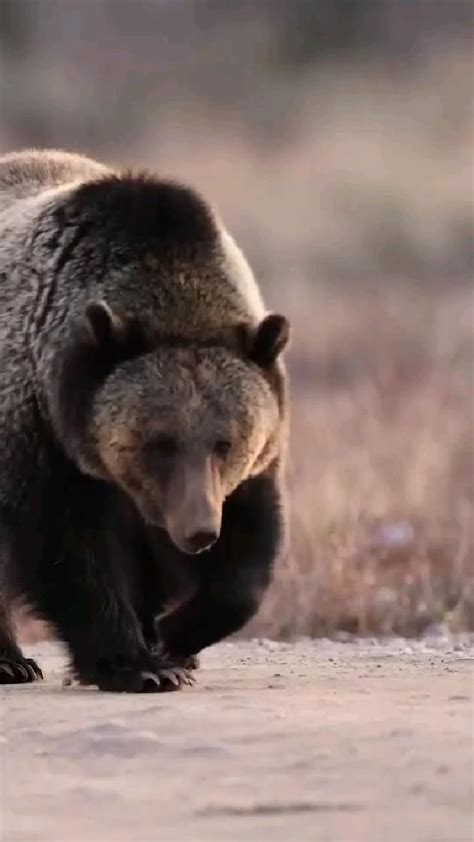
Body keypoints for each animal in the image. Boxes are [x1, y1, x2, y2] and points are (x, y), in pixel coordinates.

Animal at [0, 149, 289, 692]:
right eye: (159, 441)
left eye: (226, 442)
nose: (199, 531)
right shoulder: (42, 435)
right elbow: (72, 554)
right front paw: (136, 663)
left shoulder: (251, 461)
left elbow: (246, 556)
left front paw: (172, 636)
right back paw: (9, 660)